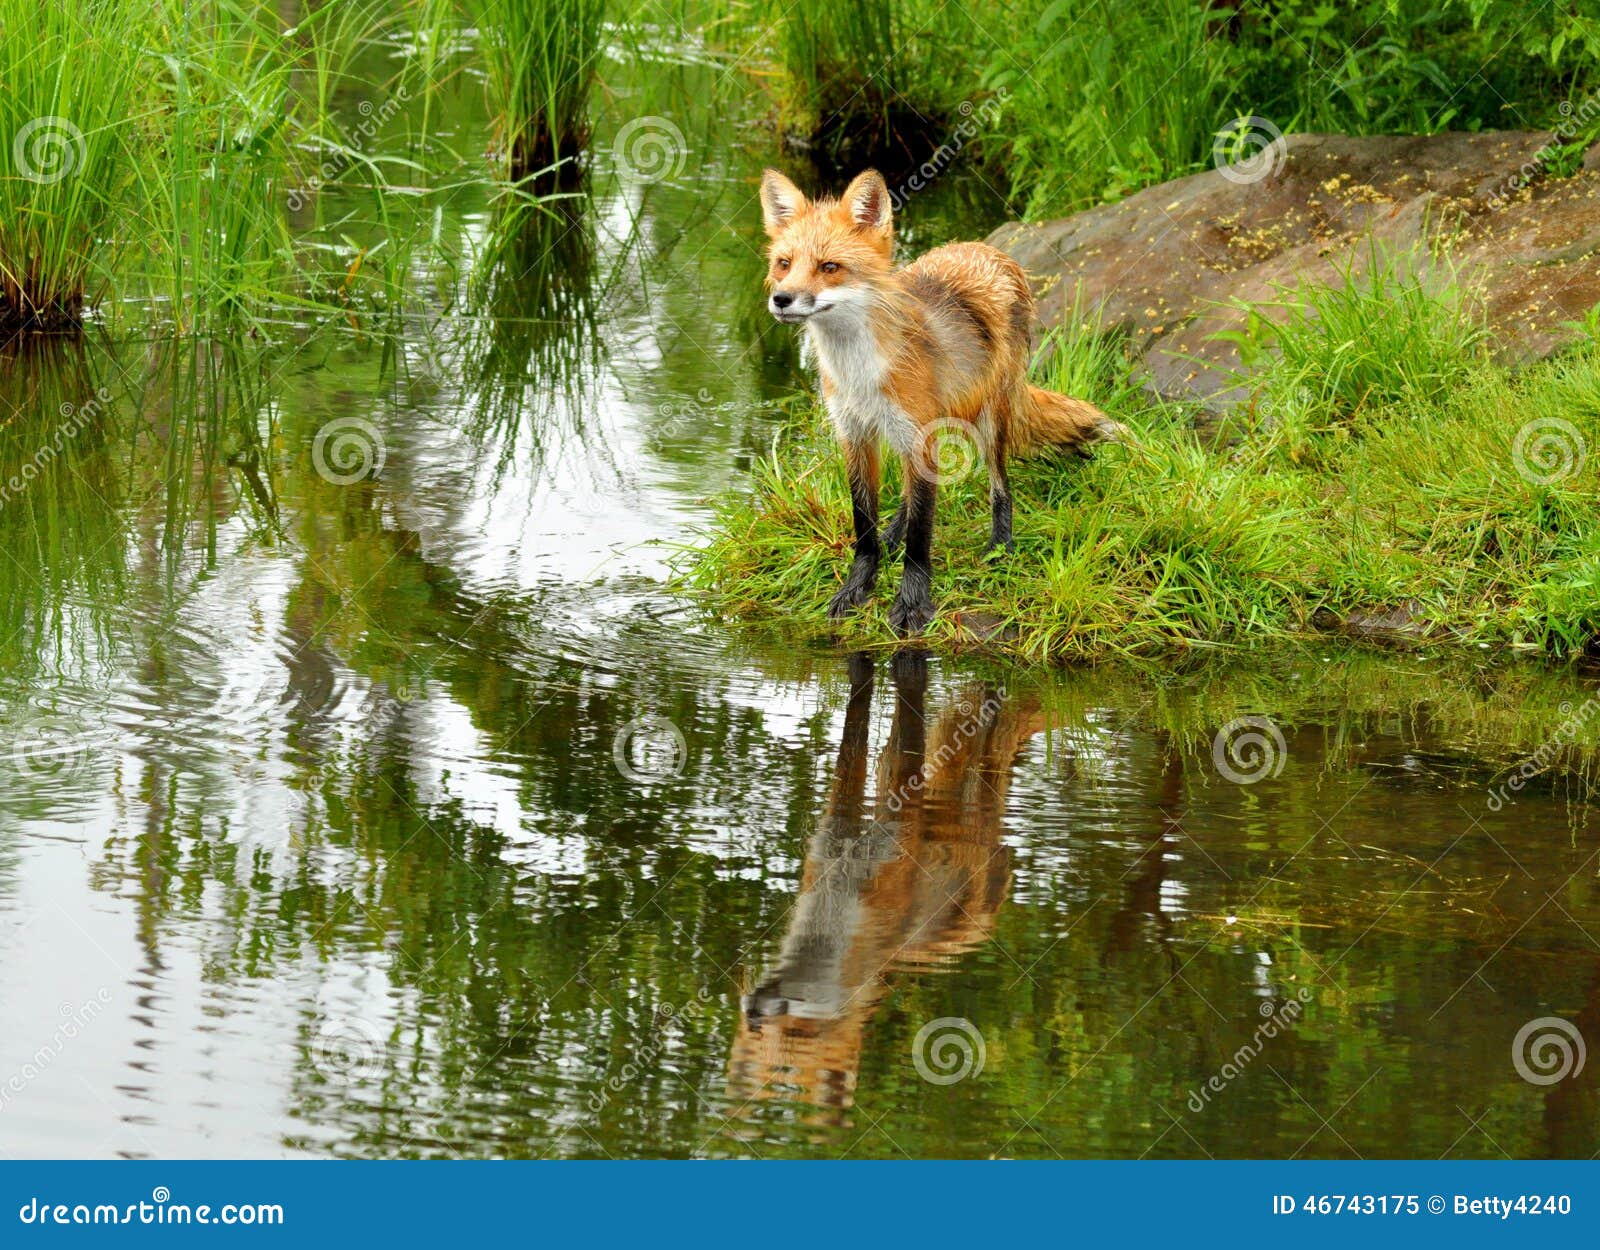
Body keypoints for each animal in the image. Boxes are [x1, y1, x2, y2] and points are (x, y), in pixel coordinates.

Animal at [760, 167, 1120, 634]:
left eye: (830, 267)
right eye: (784, 264)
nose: (781, 299)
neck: (859, 373)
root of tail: (987, 248)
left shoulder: (917, 435)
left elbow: (921, 535)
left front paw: (912, 605)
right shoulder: (855, 434)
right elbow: (864, 525)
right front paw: (858, 587)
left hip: (990, 417)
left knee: (1000, 488)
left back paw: (1000, 546)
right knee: (911, 499)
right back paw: (893, 535)